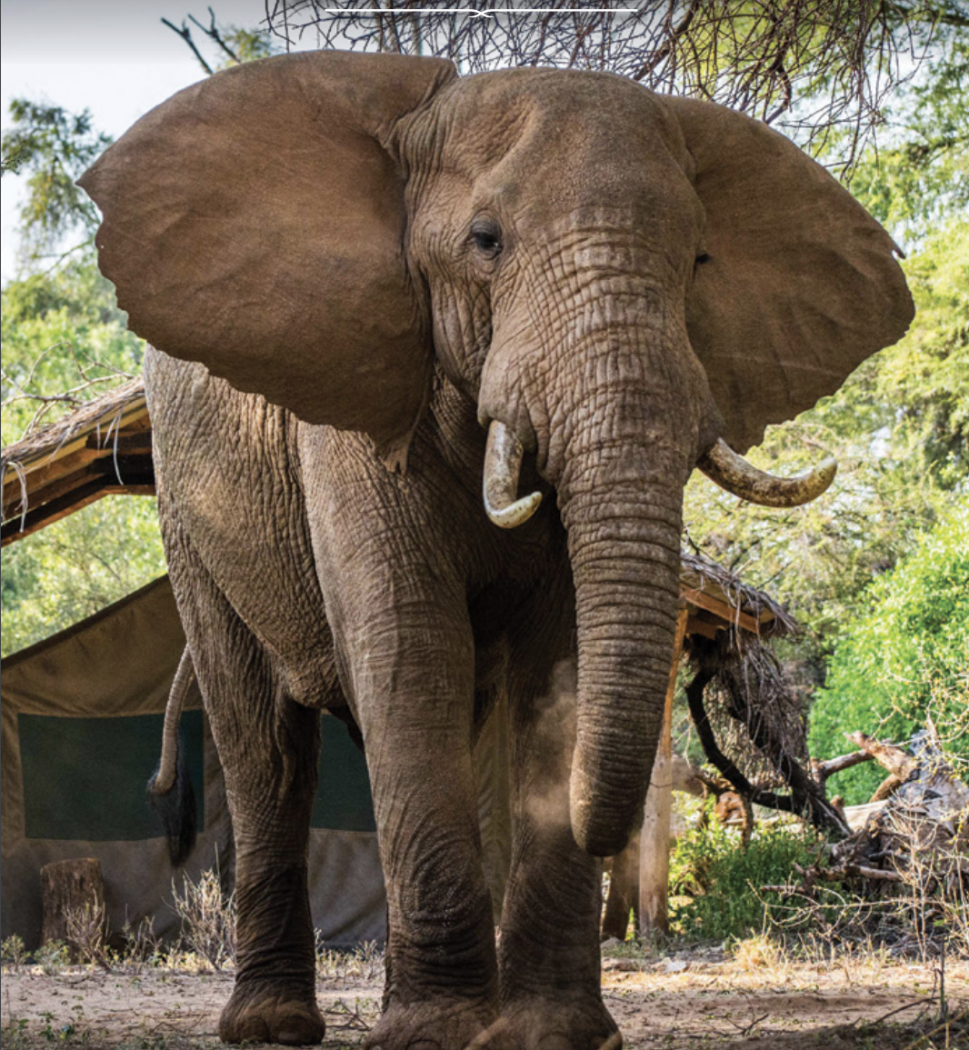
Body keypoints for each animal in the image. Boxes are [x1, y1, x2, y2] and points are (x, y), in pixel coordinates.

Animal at [79, 50, 913, 1049]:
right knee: (266, 745)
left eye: (698, 259)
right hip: (188, 506)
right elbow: (410, 653)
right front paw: (433, 1035)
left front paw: (551, 1034)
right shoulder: (355, 405)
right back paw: (274, 1025)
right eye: (485, 241)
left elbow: (558, 662)